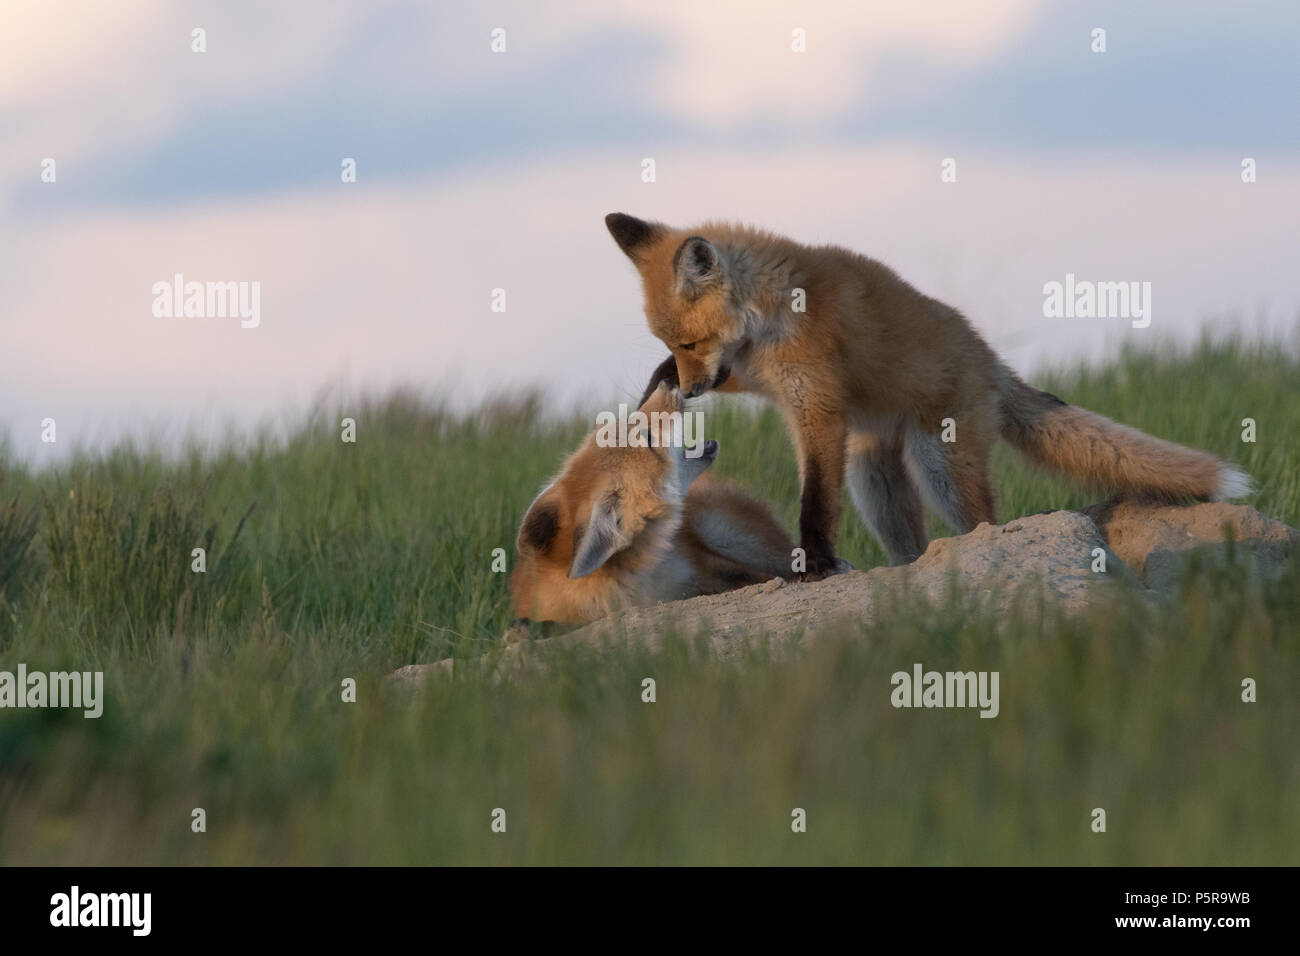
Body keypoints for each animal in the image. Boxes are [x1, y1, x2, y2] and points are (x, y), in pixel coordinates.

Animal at [605, 212, 1252, 579]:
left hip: (937, 461)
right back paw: (908, 571)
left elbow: (814, 501)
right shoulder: (754, 377)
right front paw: (655, 386)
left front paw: (815, 564)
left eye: (691, 340)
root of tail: (991, 362)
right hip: (873, 473)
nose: (691, 389)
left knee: (983, 520)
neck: (768, 321)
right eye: (673, 342)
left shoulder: (816, 407)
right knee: (909, 540)